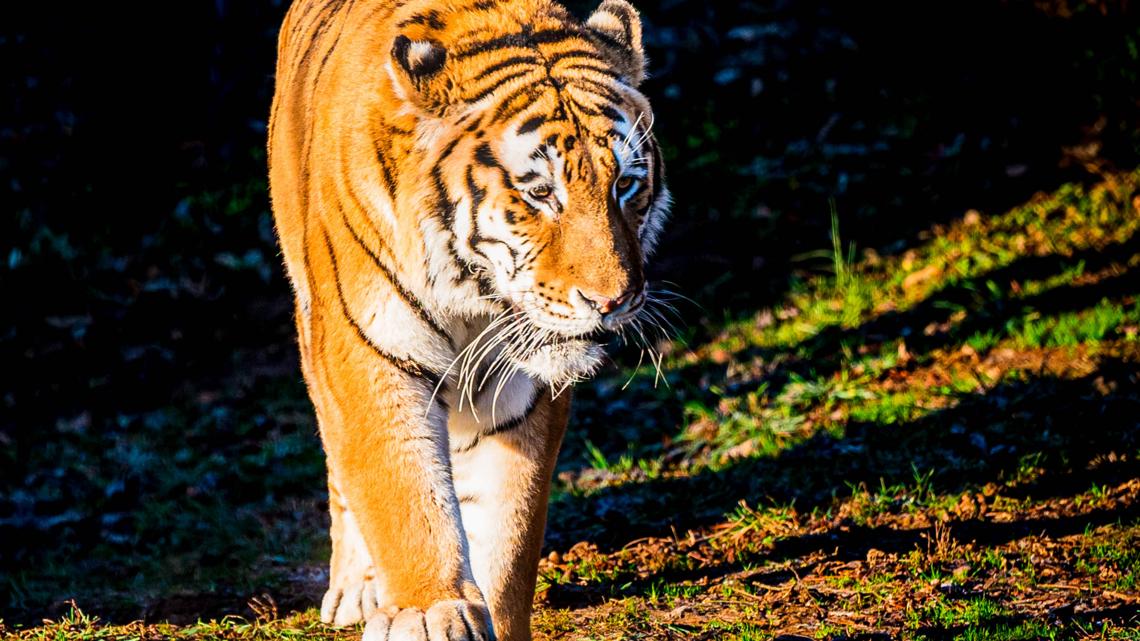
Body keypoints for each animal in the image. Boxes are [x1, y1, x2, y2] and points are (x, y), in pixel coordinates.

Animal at [267, 0, 669, 638]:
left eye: (625, 185)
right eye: (539, 194)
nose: (611, 300)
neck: (474, 300)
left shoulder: (522, 389)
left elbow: (507, 528)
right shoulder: (368, 352)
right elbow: (401, 490)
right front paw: (430, 609)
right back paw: (357, 589)